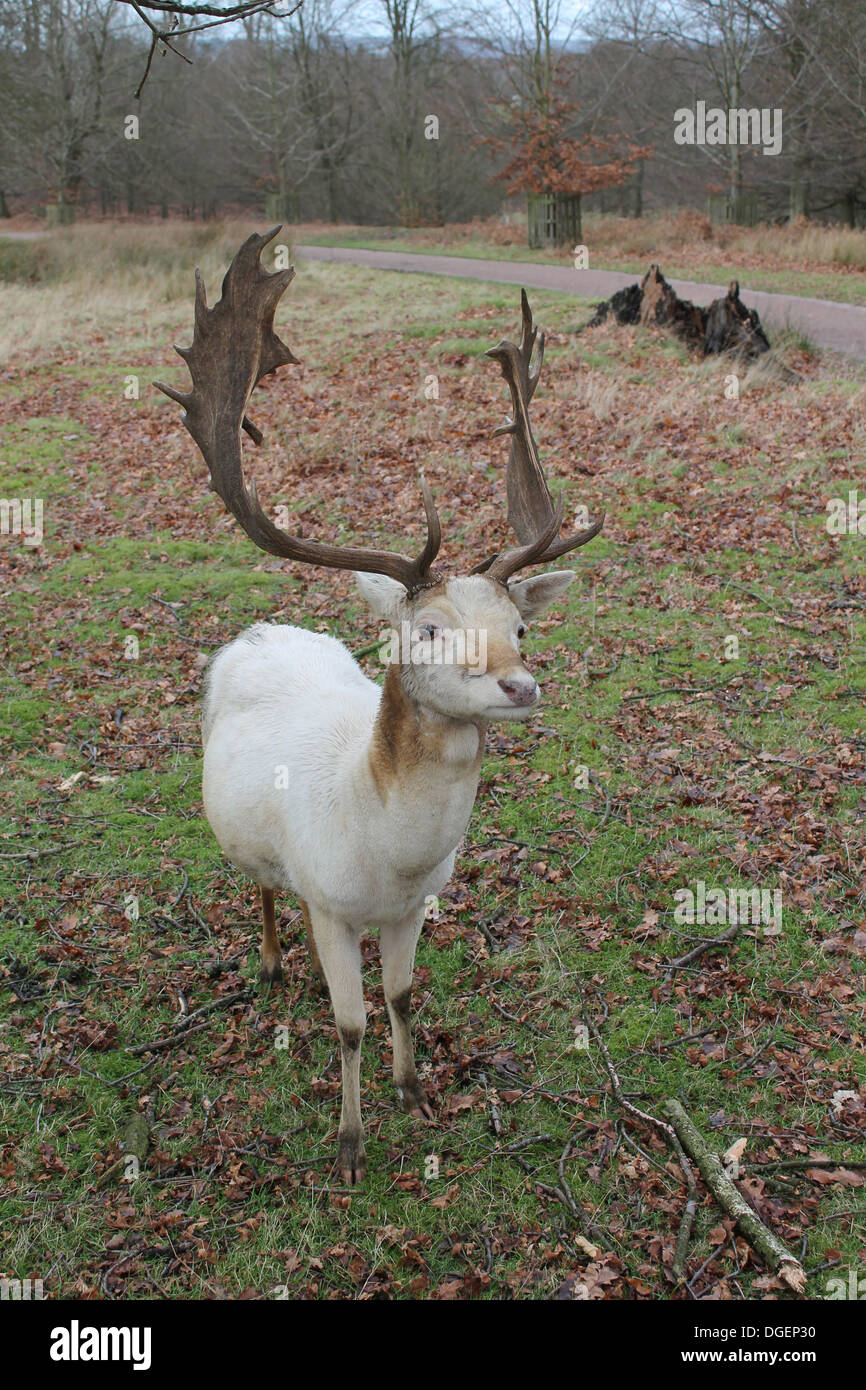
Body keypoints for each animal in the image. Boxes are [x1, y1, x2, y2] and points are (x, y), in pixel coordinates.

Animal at [155, 227, 603, 1185]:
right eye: (427, 628)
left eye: (519, 625)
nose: (521, 685)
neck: (384, 853)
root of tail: (265, 627)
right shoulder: (334, 904)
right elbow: (350, 1022)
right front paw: (351, 1146)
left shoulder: (412, 907)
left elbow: (399, 998)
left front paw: (413, 1091)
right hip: (251, 845)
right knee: (262, 887)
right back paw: (270, 962)